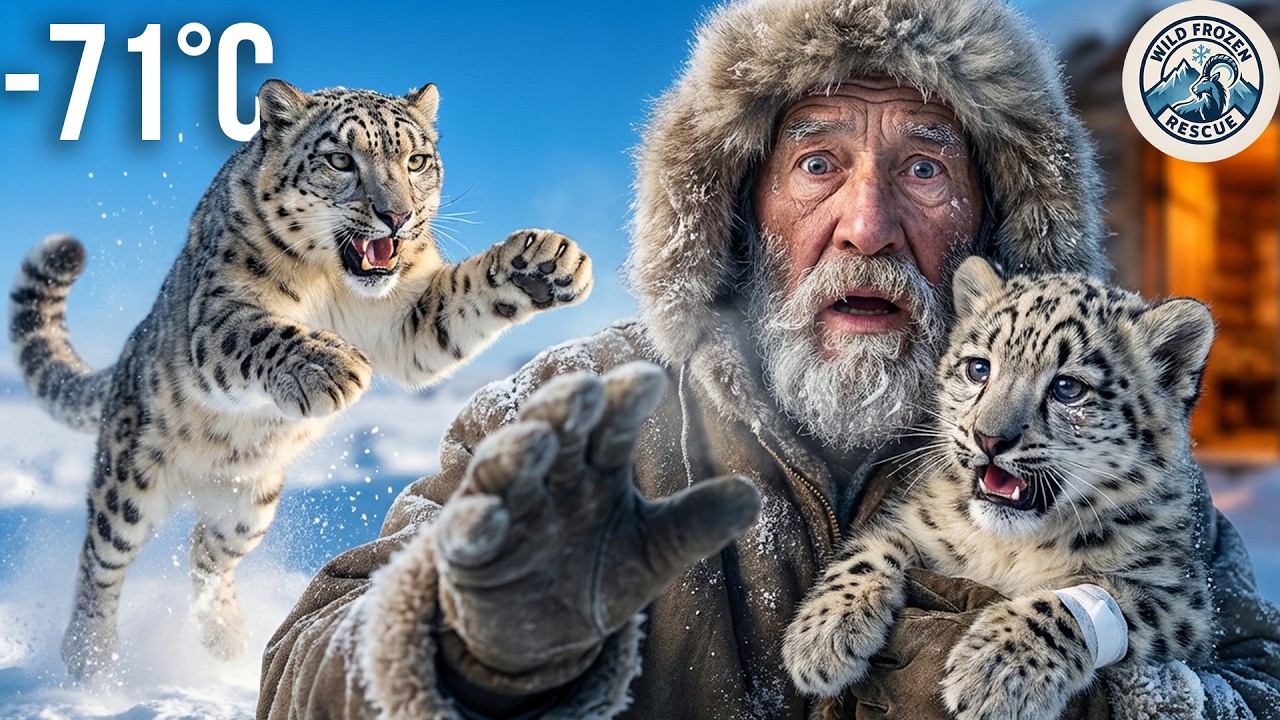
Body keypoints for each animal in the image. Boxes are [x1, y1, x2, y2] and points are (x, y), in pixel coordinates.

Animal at [8, 79, 593, 679]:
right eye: (341, 160)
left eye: (416, 160)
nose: (397, 216)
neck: (331, 285)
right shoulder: (218, 312)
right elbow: (259, 332)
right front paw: (327, 366)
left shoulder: (408, 321)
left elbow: (461, 296)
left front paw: (544, 262)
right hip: (131, 475)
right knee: (102, 553)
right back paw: (89, 655)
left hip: (249, 504)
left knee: (206, 553)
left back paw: (224, 638)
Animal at [782, 255, 1216, 720]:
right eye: (979, 368)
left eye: (1068, 387)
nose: (989, 438)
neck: (1006, 547)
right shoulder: (920, 524)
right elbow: (874, 546)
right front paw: (820, 636)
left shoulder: (1180, 600)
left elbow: (1085, 597)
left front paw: (996, 671)